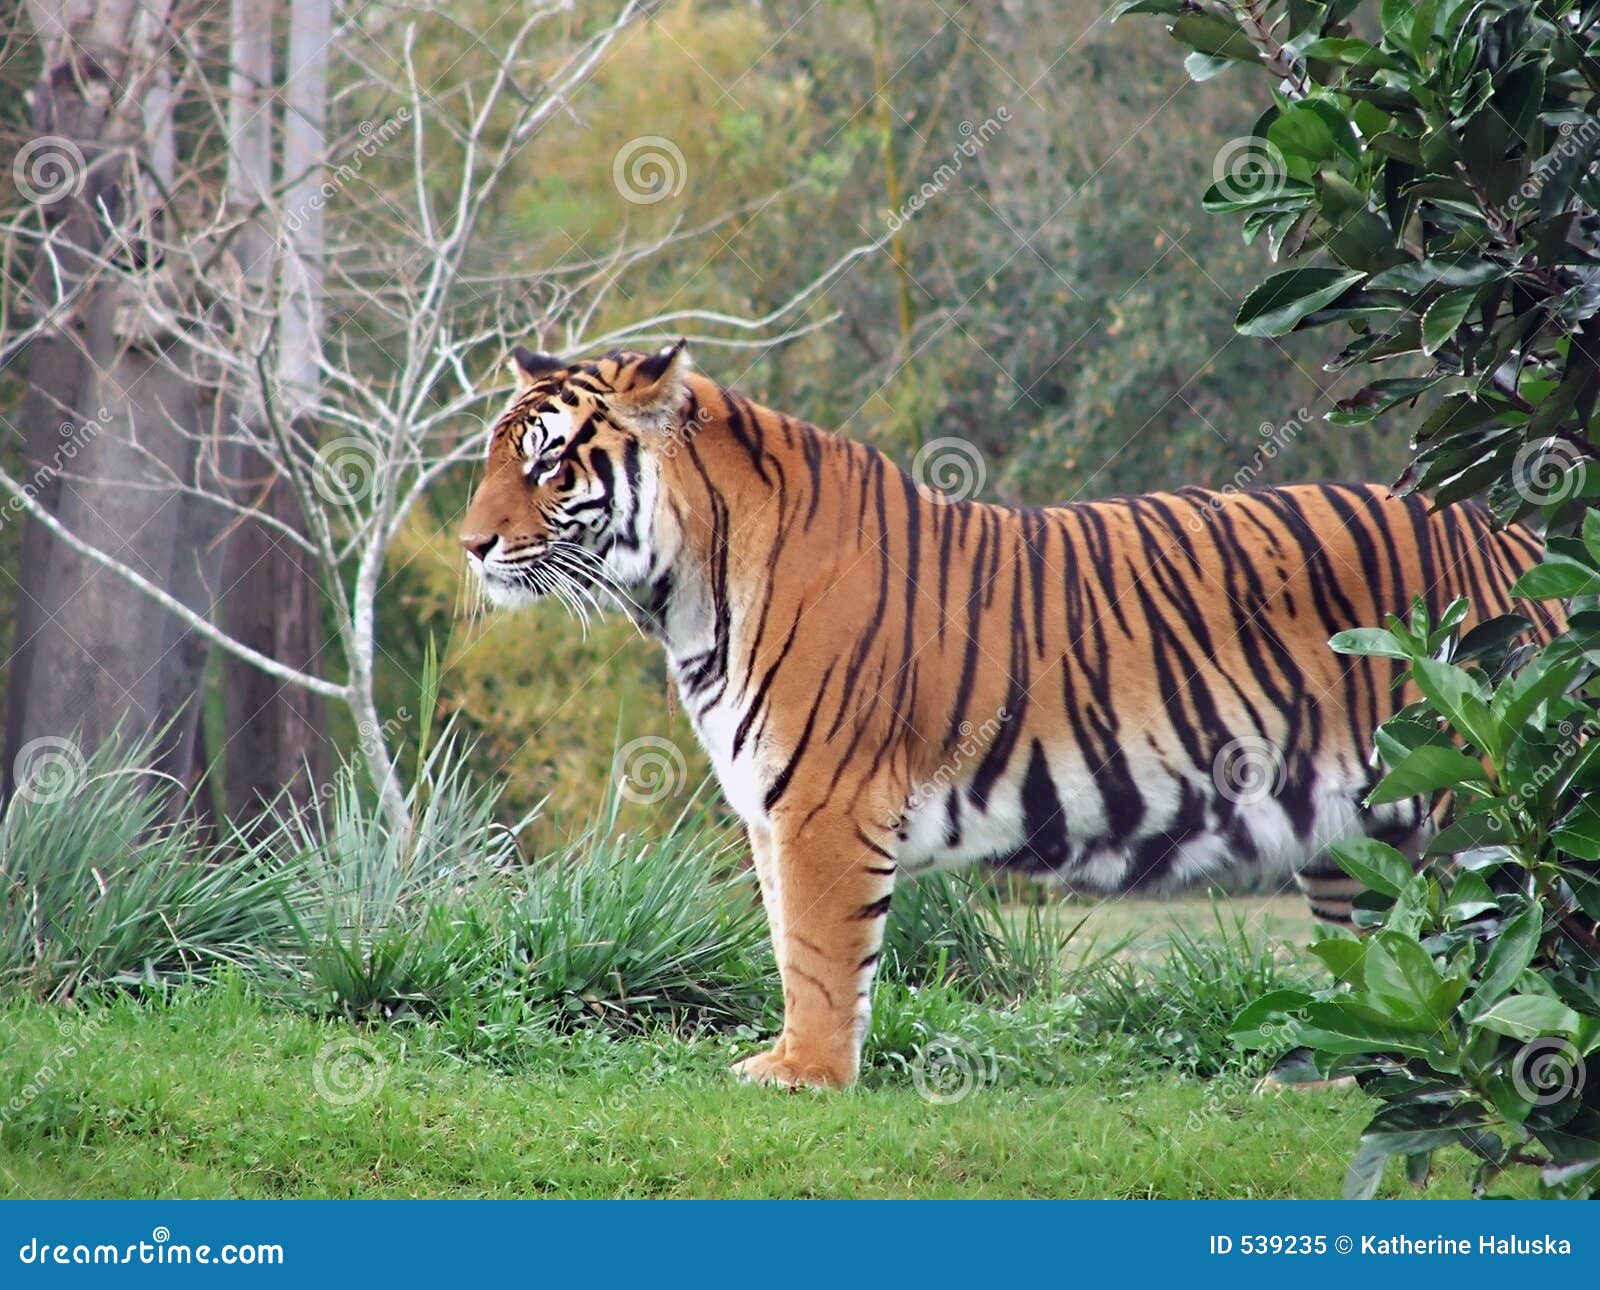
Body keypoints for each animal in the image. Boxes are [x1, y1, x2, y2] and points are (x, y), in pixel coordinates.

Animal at [460, 341, 1559, 1089]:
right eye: (495, 460)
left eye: (549, 465)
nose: (469, 546)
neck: (684, 593)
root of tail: (1519, 534)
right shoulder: (771, 811)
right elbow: (785, 942)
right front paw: (788, 1060)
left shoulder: (822, 805)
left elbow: (818, 953)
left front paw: (803, 1076)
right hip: (1358, 842)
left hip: (1481, 817)